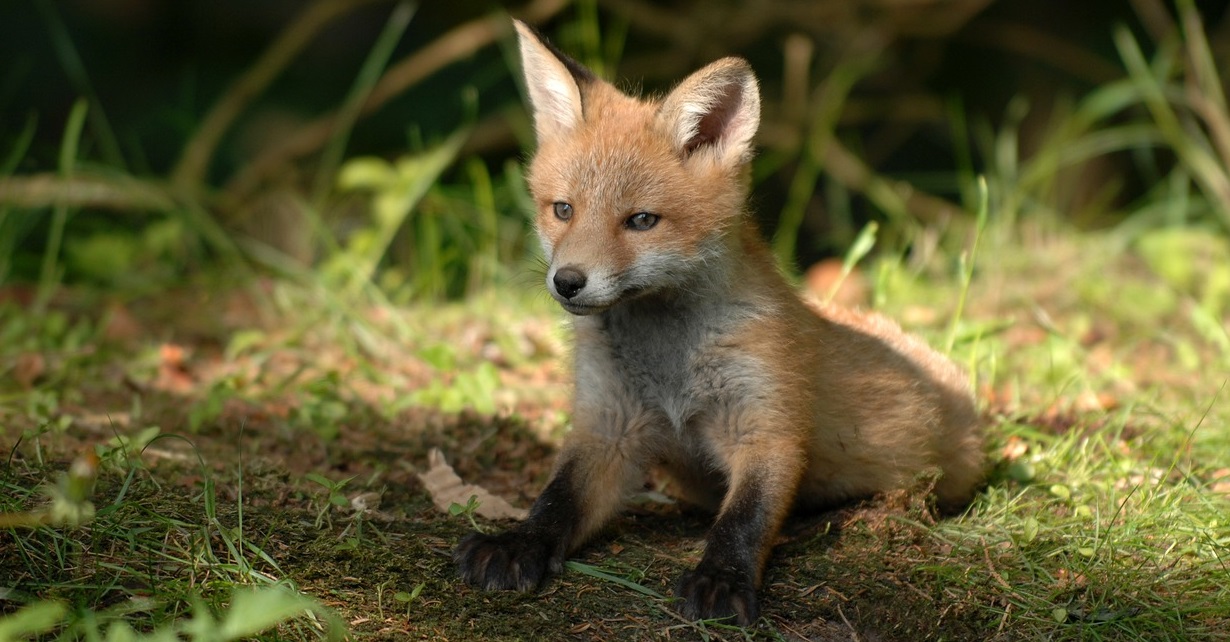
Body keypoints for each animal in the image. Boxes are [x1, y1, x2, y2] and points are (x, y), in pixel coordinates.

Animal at [454, 19, 985, 626]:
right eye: (562, 210)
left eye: (641, 221)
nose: (567, 281)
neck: (669, 360)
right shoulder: (607, 427)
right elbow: (556, 499)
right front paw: (517, 543)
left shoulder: (766, 424)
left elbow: (744, 518)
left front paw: (721, 579)